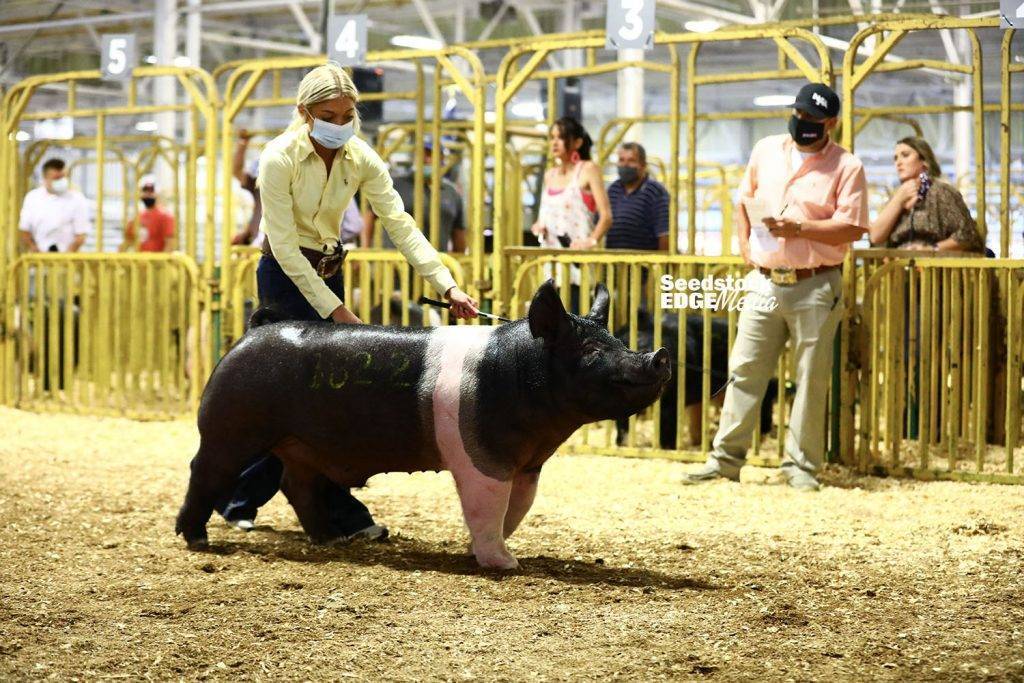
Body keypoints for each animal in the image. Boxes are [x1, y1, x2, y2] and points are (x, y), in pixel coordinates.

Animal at [176, 280, 670, 570]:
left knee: (296, 485)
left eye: (618, 341)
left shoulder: (527, 464)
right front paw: (505, 565)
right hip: (230, 428)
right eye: (590, 351)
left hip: (299, 446)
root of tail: (253, 332)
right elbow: (488, 507)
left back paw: (331, 542)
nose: (659, 355)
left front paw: (488, 552)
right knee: (205, 472)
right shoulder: (479, 457)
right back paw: (197, 540)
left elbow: (515, 509)